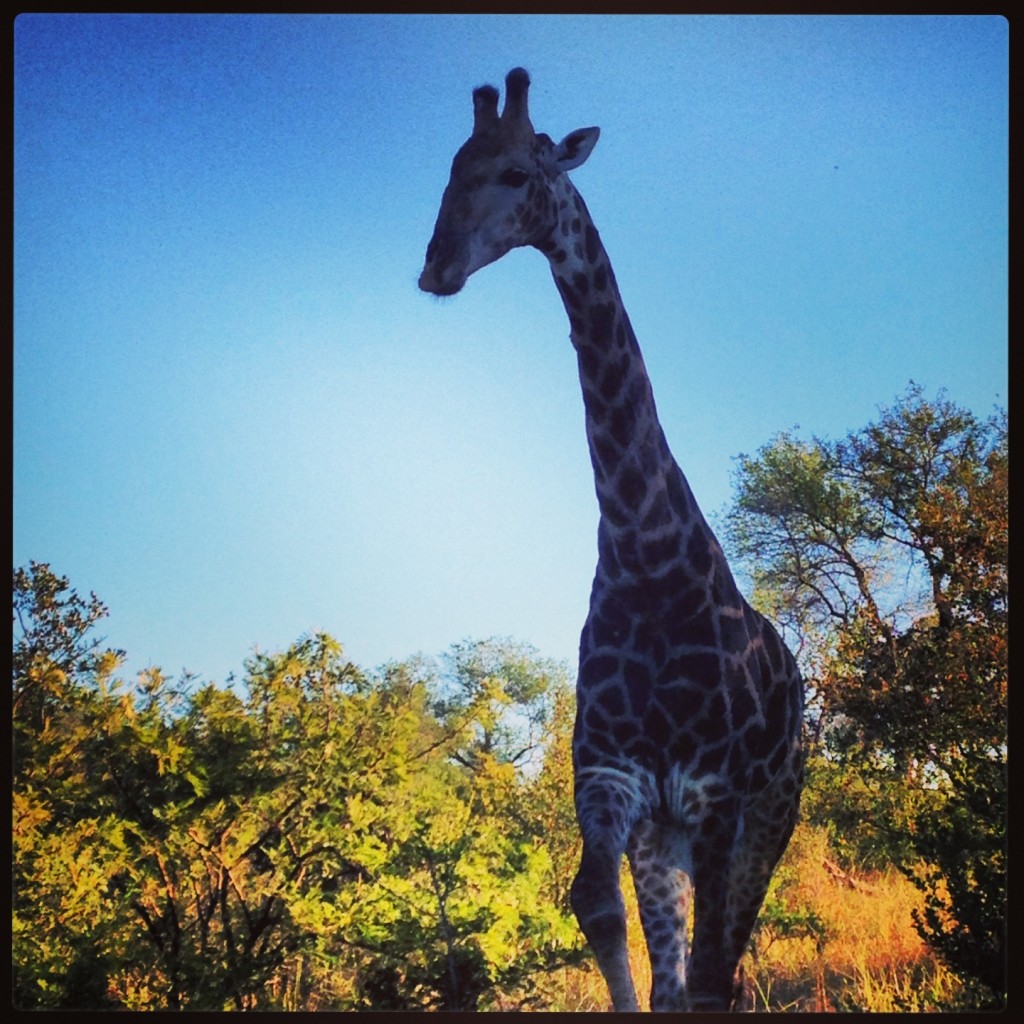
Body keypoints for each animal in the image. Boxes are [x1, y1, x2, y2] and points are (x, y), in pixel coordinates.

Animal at [419, 68, 804, 1012]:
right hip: (663, 835)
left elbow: (709, 973)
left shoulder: (715, 796)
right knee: (681, 970)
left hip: (772, 816)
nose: (437, 265)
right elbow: (596, 907)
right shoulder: (611, 779)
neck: (645, 549)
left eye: (517, 173)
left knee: (725, 961)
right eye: (451, 168)